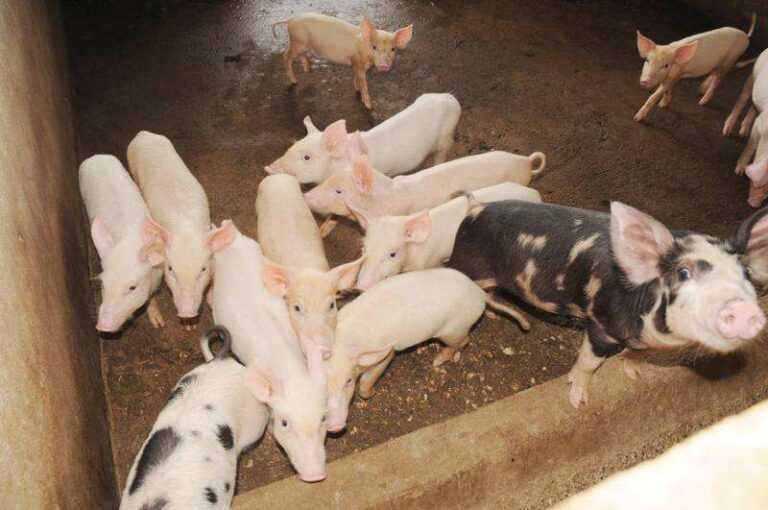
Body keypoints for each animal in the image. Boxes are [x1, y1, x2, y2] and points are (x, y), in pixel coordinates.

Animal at [78, 154, 165, 333]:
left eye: (132, 287)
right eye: (103, 285)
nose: (102, 326)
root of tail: (95, 157)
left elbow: (150, 298)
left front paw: (159, 323)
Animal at [265, 93, 460, 184]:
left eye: (307, 157)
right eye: (293, 146)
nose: (268, 167)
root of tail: (452, 98)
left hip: (446, 135)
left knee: (444, 151)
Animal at [272, 13, 413, 108]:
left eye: (393, 49)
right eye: (374, 47)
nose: (383, 66)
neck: (365, 50)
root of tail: (290, 20)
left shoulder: (357, 65)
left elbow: (357, 79)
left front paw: (357, 89)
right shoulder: (358, 63)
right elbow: (364, 83)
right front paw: (369, 105)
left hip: (302, 45)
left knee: (300, 55)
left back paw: (308, 70)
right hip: (297, 43)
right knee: (285, 55)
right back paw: (294, 81)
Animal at [325, 268, 487, 433]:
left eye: (348, 381)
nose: (336, 427)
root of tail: (479, 294)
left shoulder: (386, 354)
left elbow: (367, 381)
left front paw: (372, 393)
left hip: (453, 331)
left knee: (465, 340)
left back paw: (437, 361)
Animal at [448, 200, 768, 409]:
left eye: (746, 272)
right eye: (683, 273)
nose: (743, 309)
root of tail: (473, 212)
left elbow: (637, 354)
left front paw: (634, 374)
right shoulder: (602, 324)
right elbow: (589, 363)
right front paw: (578, 401)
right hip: (468, 266)